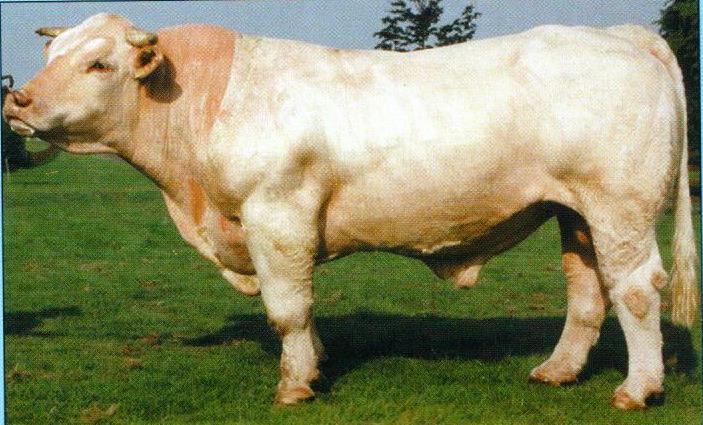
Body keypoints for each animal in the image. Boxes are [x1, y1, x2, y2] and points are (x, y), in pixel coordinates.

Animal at [3, 14, 698, 410]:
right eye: (50, 57)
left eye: (99, 62)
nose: (19, 100)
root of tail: (619, 34)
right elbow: (303, 308)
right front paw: (316, 363)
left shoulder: (275, 214)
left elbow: (286, 307)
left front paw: (293, 385)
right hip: (574, 213)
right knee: (588, 291)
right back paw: (557, 372)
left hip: (620, 208)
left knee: (637, 289)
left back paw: (638, 389)